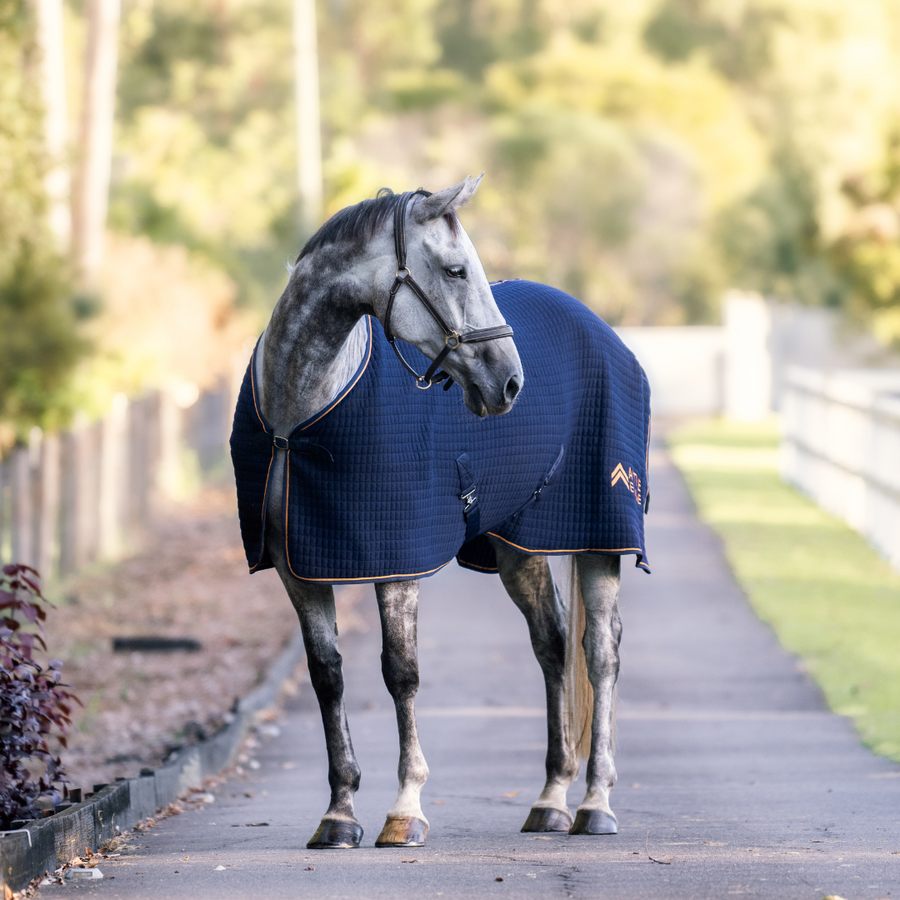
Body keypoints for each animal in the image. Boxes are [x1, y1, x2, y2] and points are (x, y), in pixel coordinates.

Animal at [230, 175, 651, 849]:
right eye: (455, 269)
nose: (510, 383)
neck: (301, 418)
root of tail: (603, 330)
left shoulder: (396, 560)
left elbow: (401, 673)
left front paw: (405, 809)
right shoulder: (299, 566)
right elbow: (327, 675)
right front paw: (338, 813)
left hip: (599, 537)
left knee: (600, 653)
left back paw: (595, 803)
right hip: (516, 548)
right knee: (553, 644)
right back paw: (551, 798)